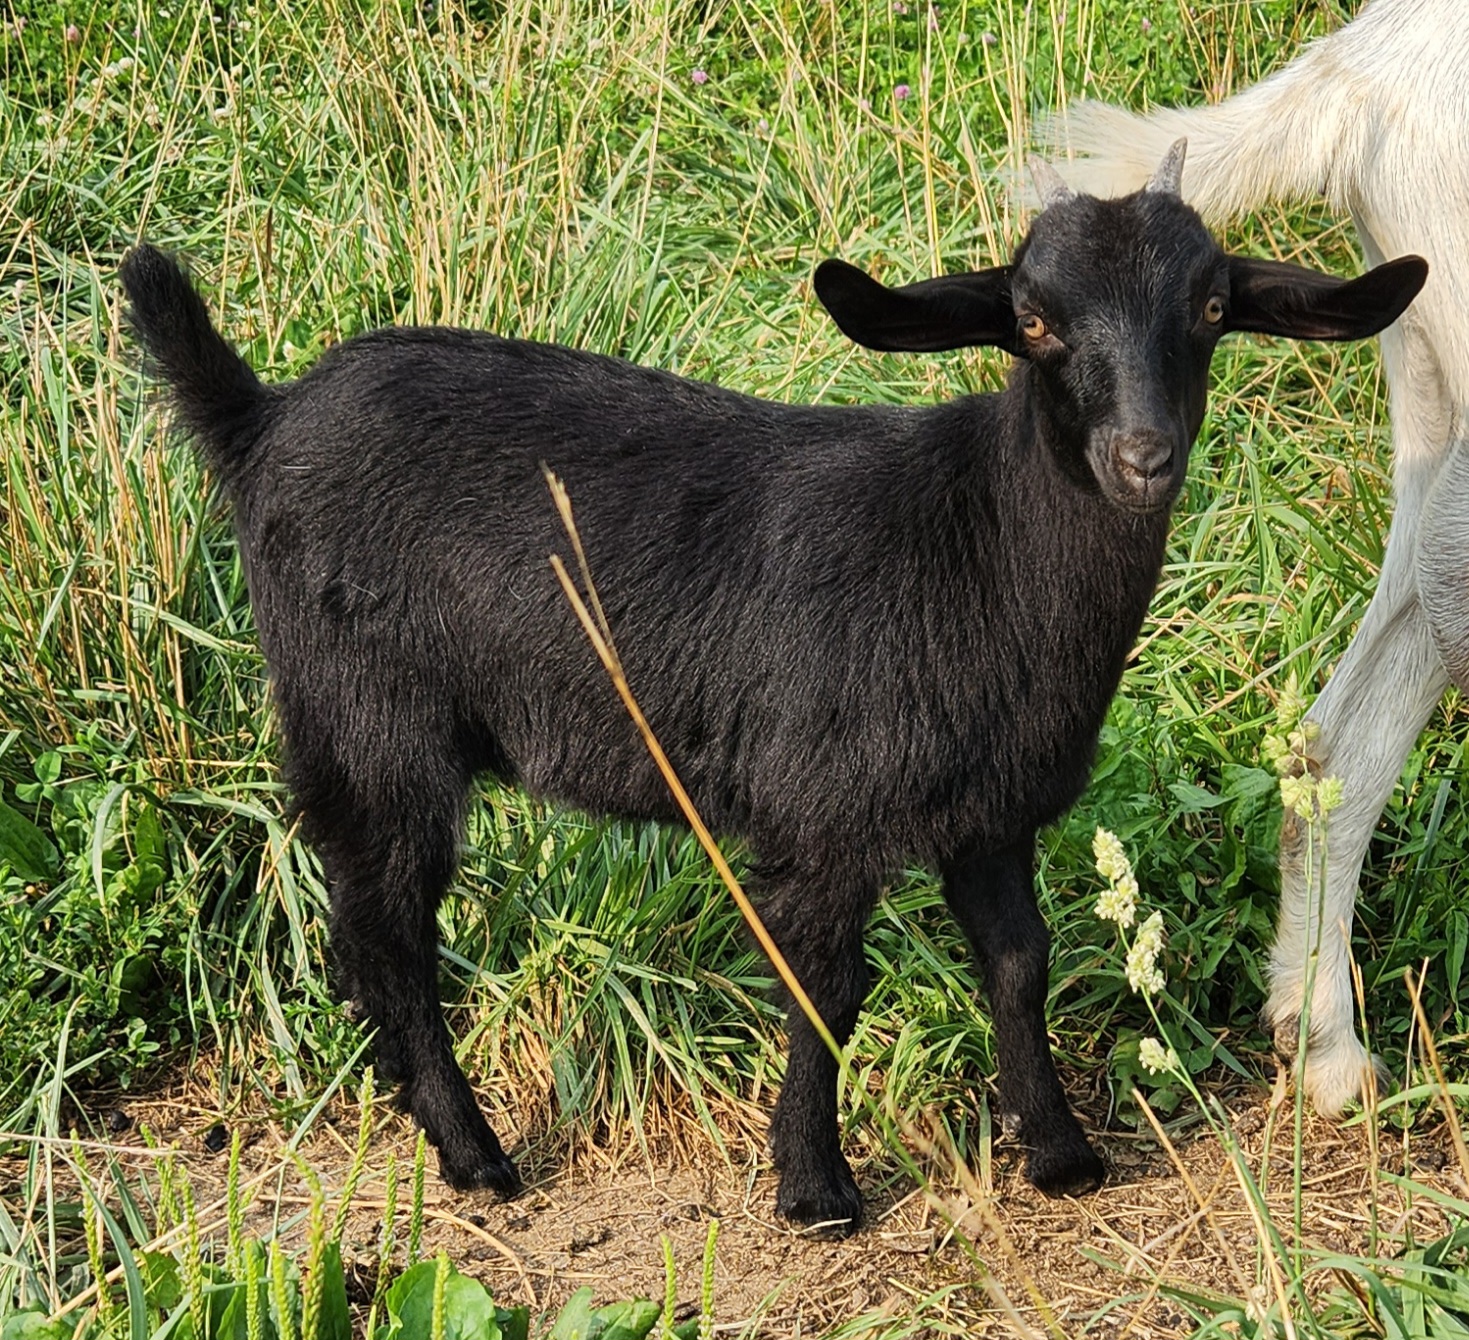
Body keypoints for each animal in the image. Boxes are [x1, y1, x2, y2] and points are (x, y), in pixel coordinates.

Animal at [119, 147, 1423, 1233]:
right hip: (369, 717)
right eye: (1033, 319)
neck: (976, 547)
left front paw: (1057, 1153)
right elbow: (825, 988)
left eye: (1208, 308)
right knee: (386, 936)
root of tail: (260, 418)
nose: (1142, 457)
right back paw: (476, 1157)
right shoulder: (820, 812)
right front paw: (813, 1187)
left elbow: (1018, 961)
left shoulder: (987, 813)